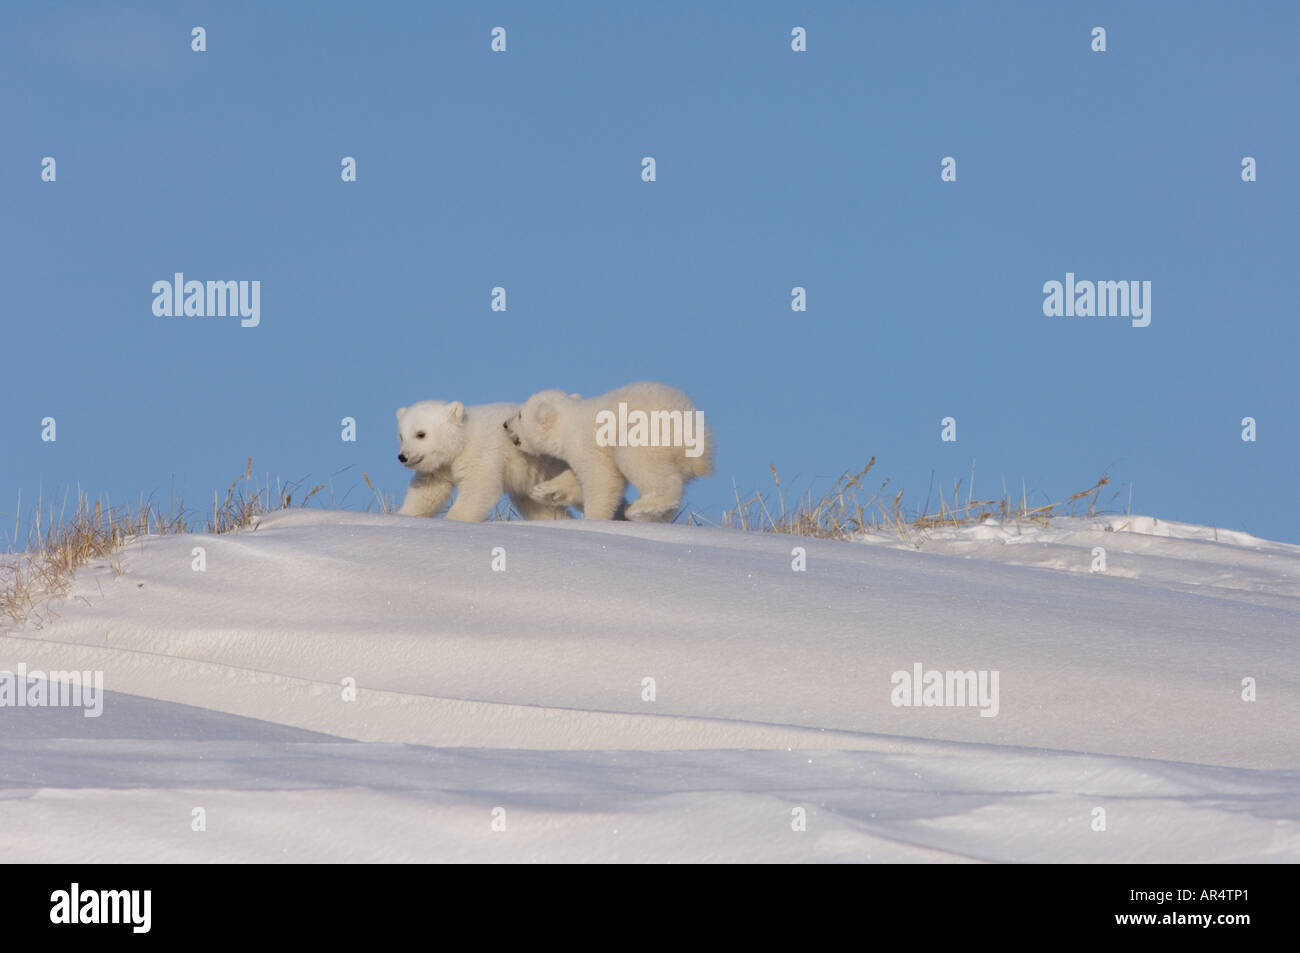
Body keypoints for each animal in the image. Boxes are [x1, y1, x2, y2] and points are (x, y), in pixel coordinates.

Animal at [395, 400, 582, 522]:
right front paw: (403, 514)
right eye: (401, 436)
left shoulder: (481, 452)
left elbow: (478, 487)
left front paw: (455, 518)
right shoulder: (440, 468)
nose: (403, 457)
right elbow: (426, 491)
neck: (464, 437)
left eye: (421, 434)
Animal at [502, 382, 713, 522]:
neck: (569, 424)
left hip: (652, 433)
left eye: (520, 414)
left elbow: (602, 479)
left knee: (634, 458)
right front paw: (544, 491)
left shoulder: (587, 445)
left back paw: (640, 508)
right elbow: (575, 479)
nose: (505, 424)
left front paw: (594, 518)